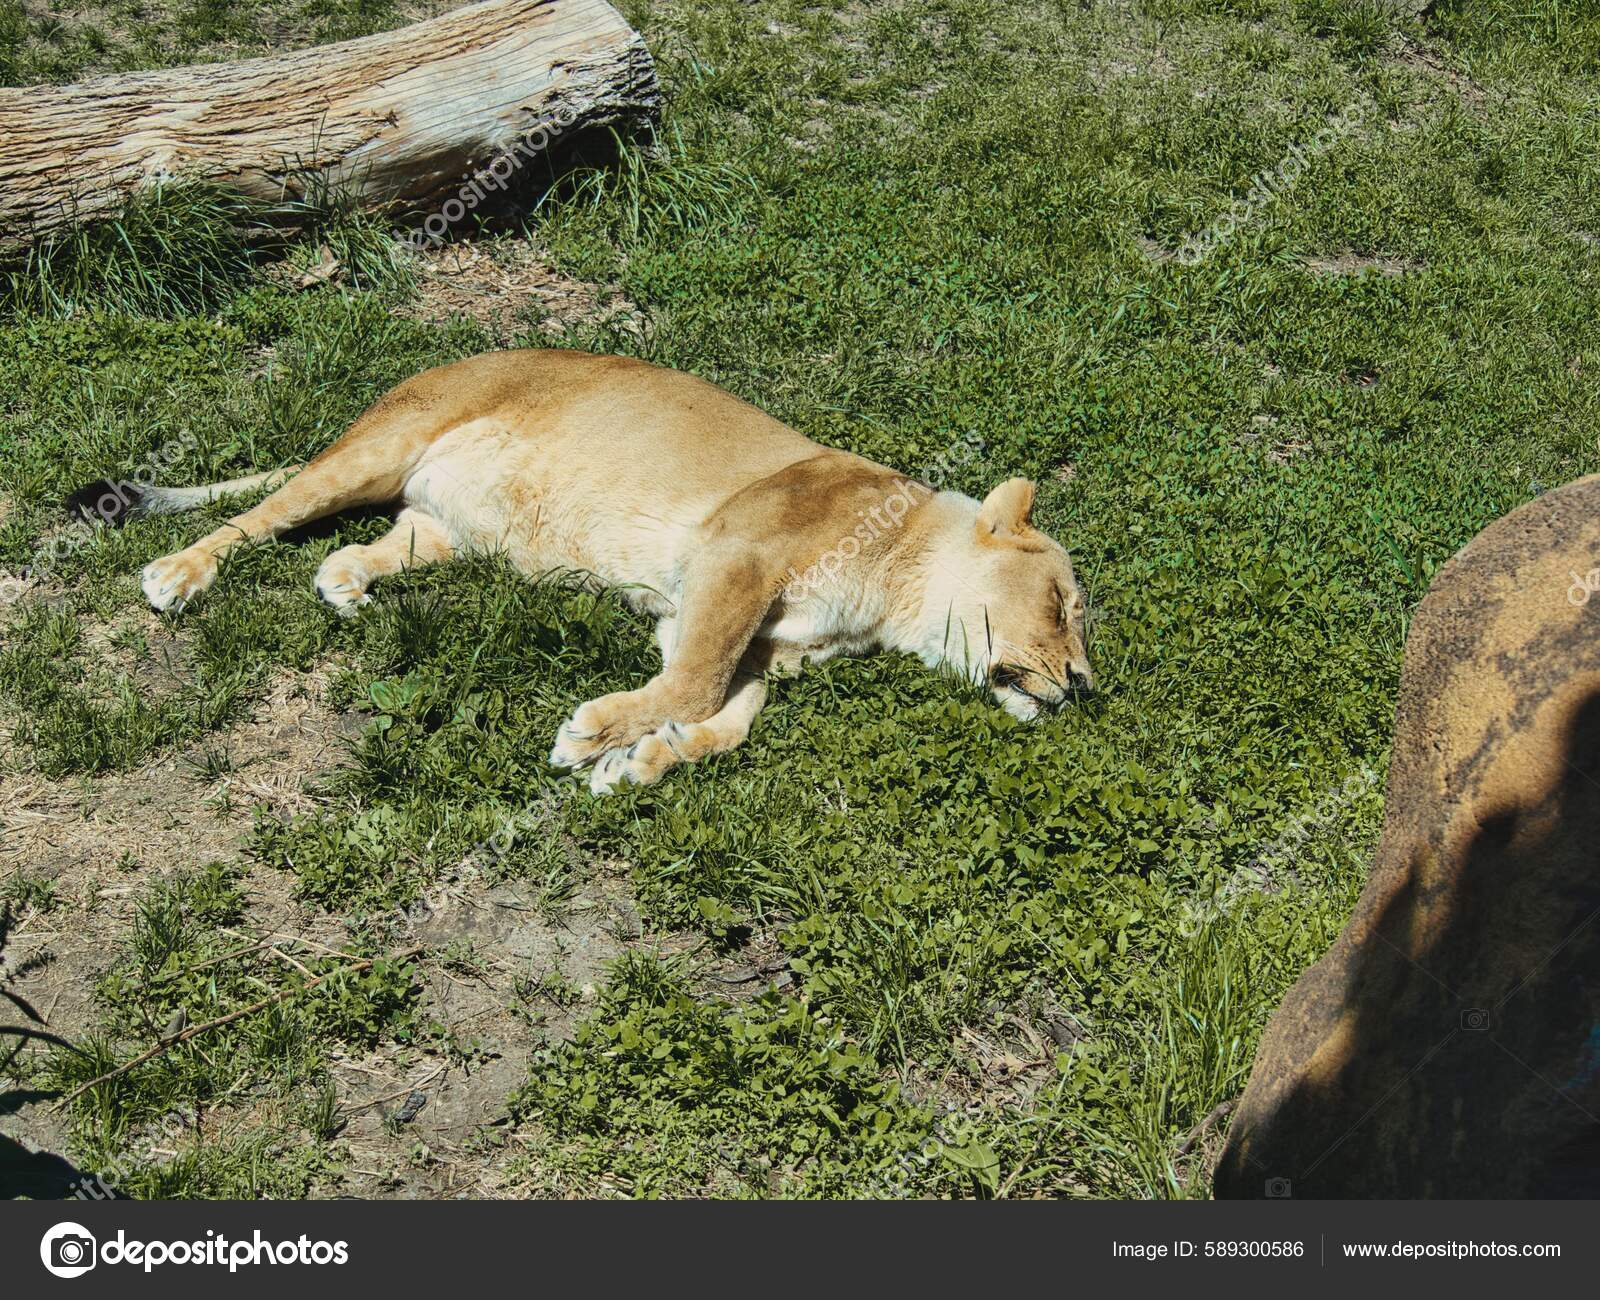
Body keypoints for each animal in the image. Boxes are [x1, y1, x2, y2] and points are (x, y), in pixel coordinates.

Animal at [72, 350, 1095, 793]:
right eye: (1062, 605)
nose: (1085, 685)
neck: (894, 586)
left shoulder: (742, 631)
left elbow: (732, 713)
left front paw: (644, 759)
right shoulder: (734, 558)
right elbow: (697, 683)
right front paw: (593, 736)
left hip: (447, 528)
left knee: (369, 543)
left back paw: (346, 582)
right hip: (374, 449)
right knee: (256, 517)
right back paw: (179, 573)